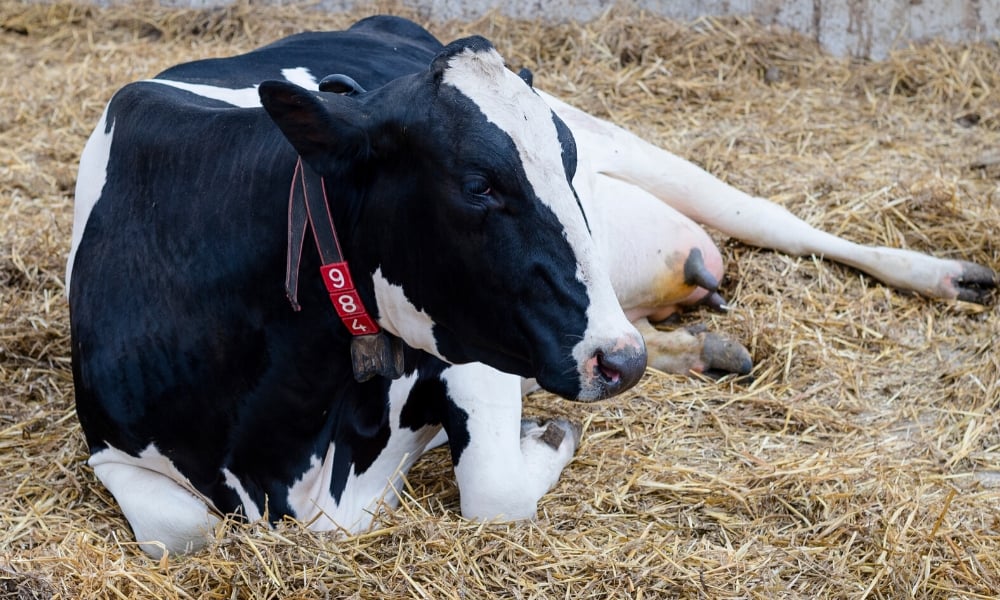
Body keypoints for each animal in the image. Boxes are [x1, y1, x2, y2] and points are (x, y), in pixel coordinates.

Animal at [67, 16, 996, 558]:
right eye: (480, 185)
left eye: (563, 166)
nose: (618, 364)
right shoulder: (113, 450)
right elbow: (180, 530)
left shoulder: (474, 349)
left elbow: (493, 490)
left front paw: (546, 438)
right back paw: (693, 348)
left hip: (630, 147)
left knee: (773, 218)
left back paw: (947, 274)